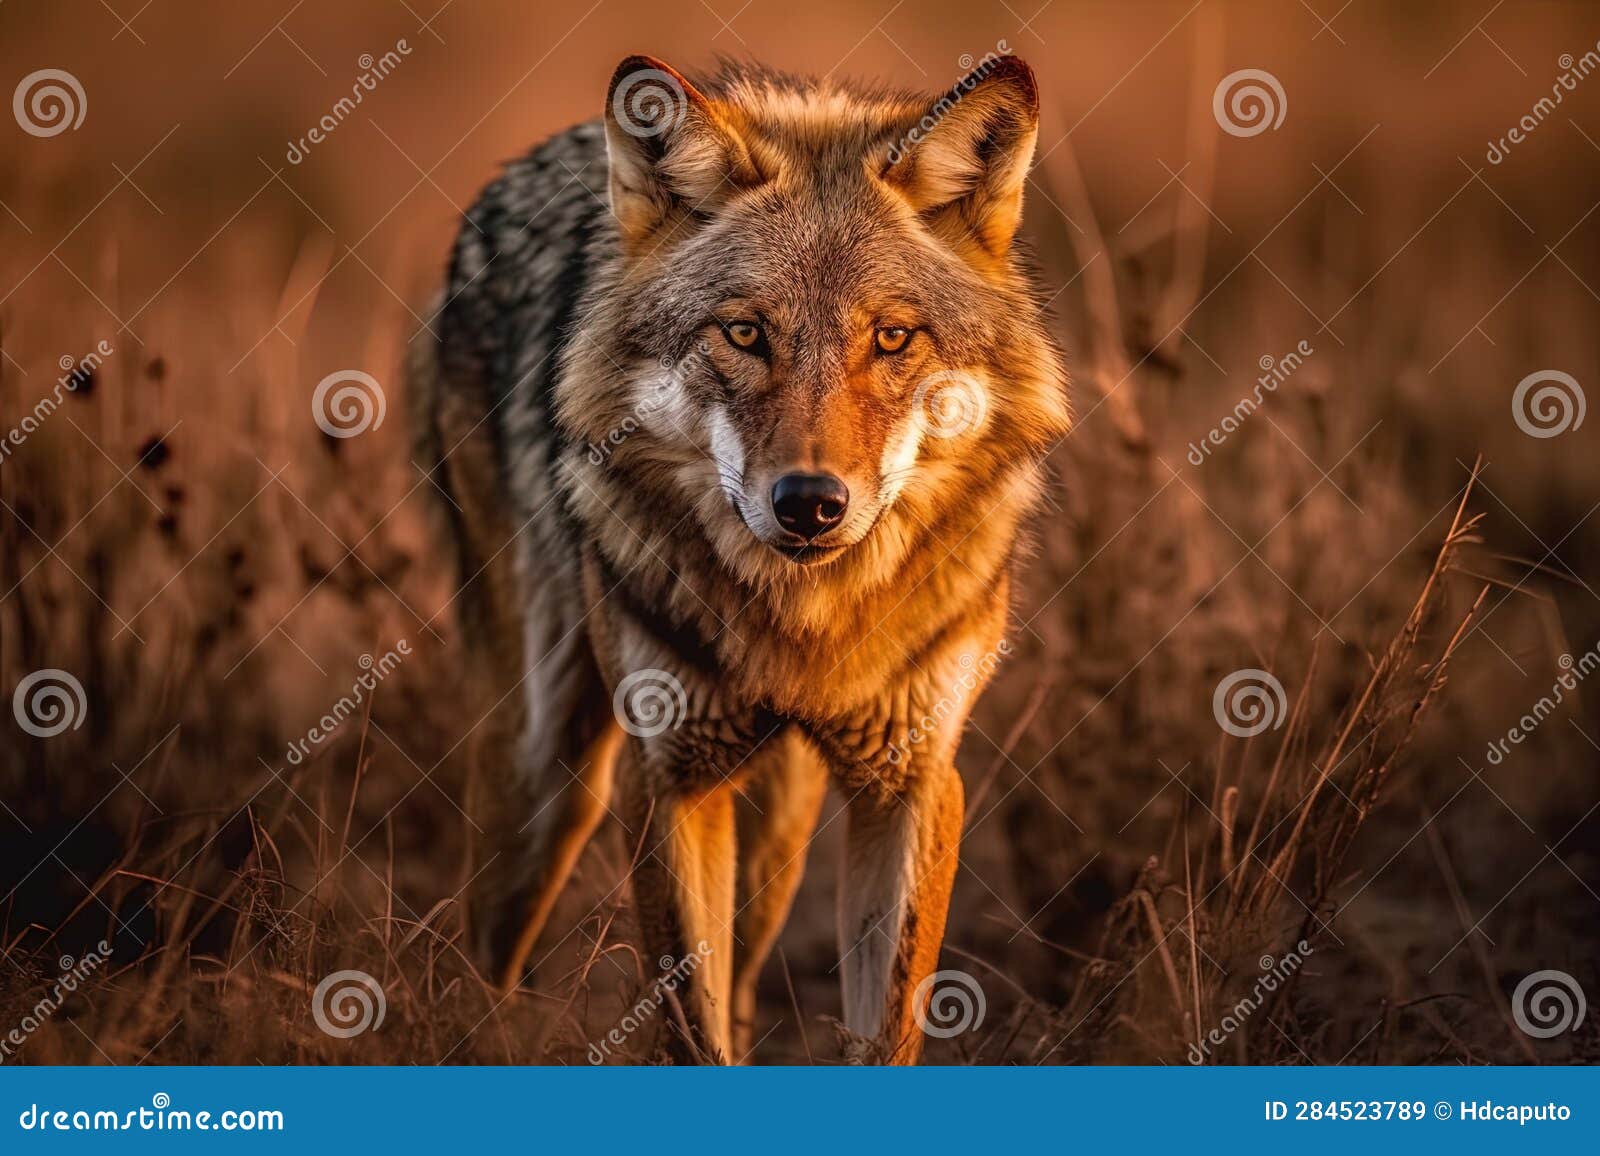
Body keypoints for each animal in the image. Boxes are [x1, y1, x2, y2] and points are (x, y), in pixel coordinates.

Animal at [408, 51, 1070, 1064]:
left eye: (892, 338)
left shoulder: (910, 785)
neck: (804, 624)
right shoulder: (671, 782)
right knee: (484, 944)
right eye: (746, 333)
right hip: (551, 780)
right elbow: (692, 1027)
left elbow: (882, 1031)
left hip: (779, 835)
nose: (810, 504)